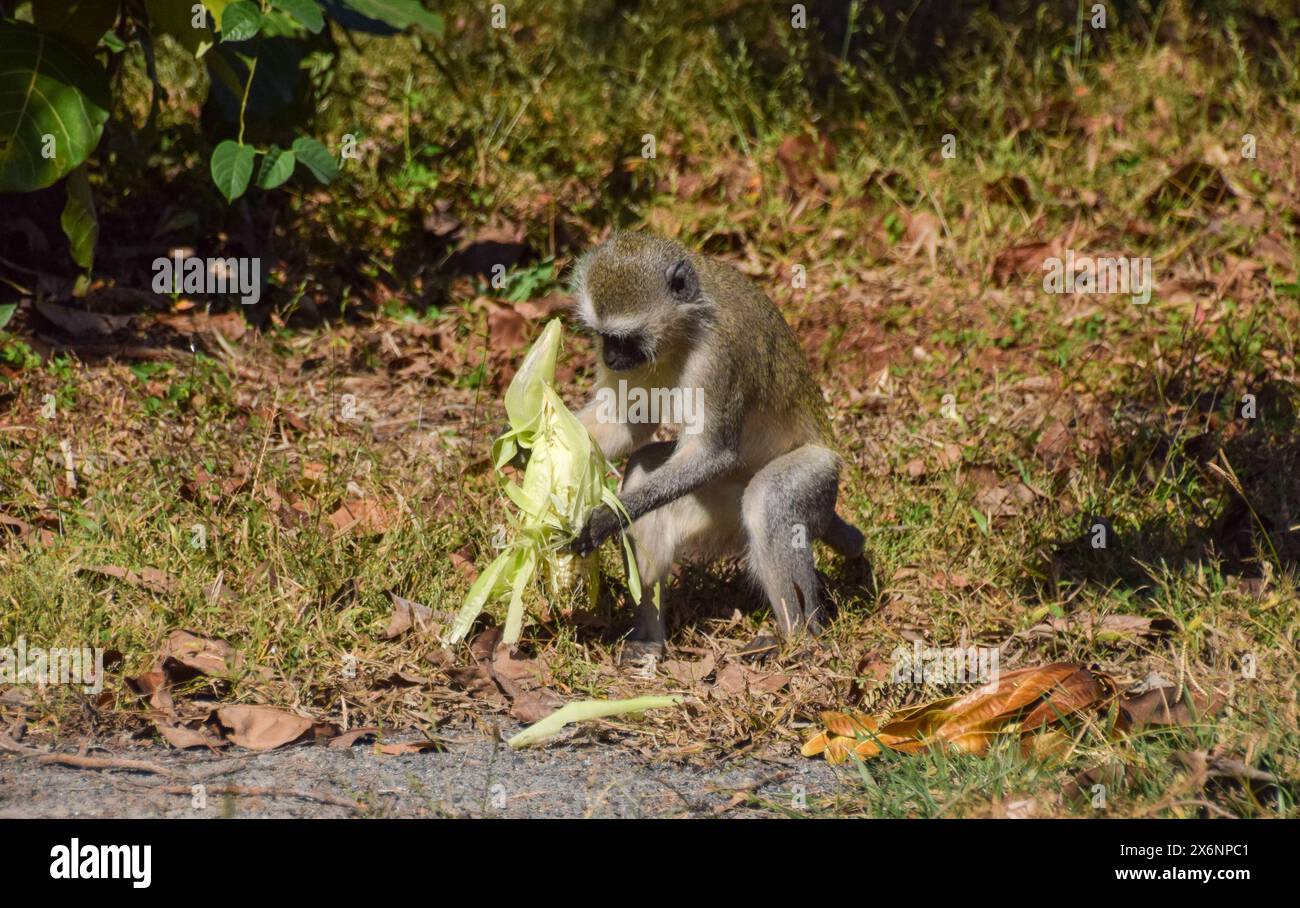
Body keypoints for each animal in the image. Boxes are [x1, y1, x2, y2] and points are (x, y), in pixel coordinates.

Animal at [567, 232, 866, 660]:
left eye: (625, 338)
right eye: (605, 337)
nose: (608, 357)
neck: (682, 331)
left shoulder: (719, 354)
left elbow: (712, 453)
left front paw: (604, 518)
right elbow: (627, 425)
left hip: (821, 476)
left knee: (770, 499)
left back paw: (797, 639)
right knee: (644, 470)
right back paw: (649, 640)